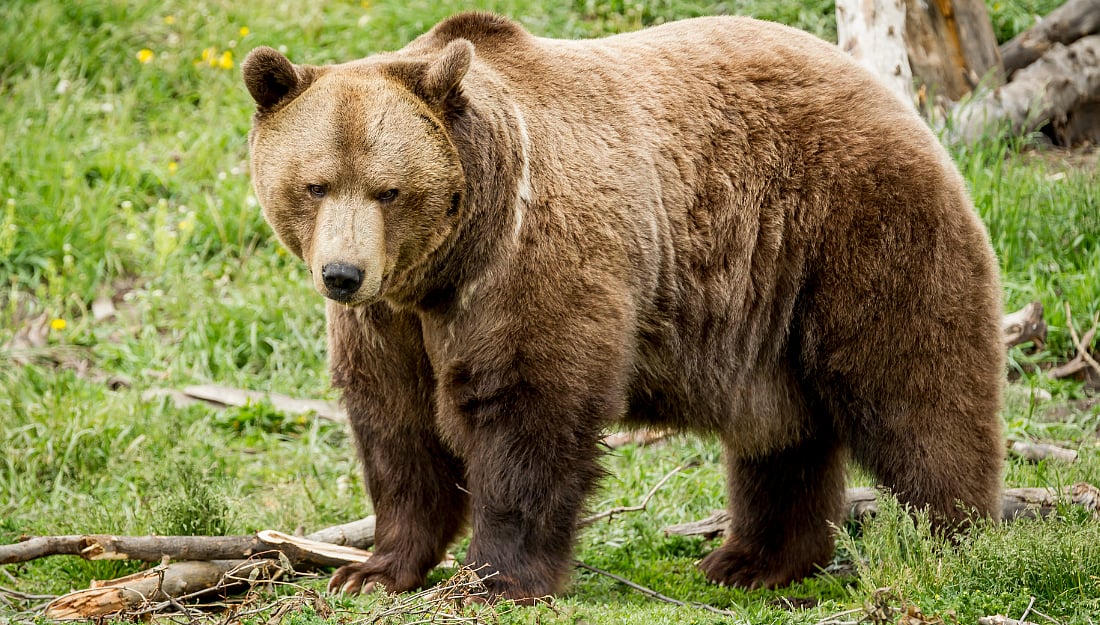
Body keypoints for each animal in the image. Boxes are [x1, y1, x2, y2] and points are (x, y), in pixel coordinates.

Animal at [242, 12, 1004, 603]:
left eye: (389, 189)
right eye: (315, 184)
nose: (343, 274)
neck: (446, 266)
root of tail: (892, 97)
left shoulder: (530, 263)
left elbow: (528, 404)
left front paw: (496, 576)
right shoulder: (391, 322)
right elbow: (398, 427)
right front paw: (372, 570)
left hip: (854, 227)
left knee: (916, 387)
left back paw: (954, 538)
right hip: (770, 309)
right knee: (783, 436)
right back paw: (752, 560)